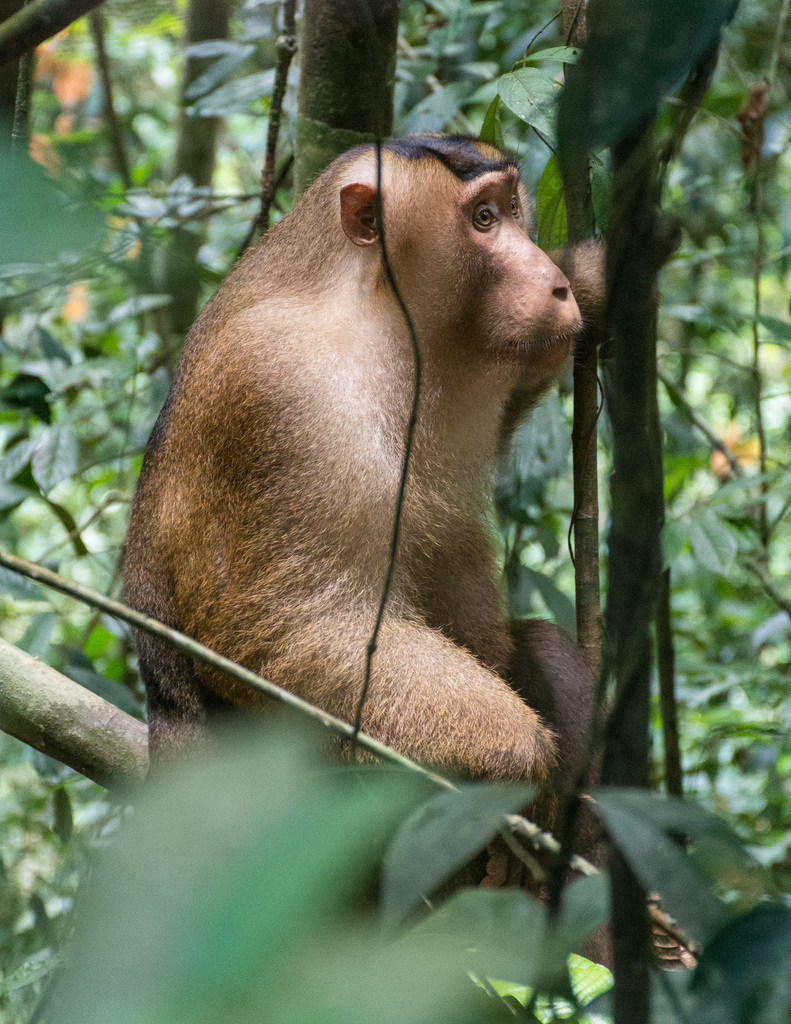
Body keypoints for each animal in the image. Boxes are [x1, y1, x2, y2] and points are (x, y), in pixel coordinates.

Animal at [125, 135, 604, 813]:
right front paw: (511, 749)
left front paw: (596, 276)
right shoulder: (281, 389)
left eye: (514, 209)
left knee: (550, 651)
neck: (382, 318)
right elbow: (275, 631)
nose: (555, 285)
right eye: (483, 219)